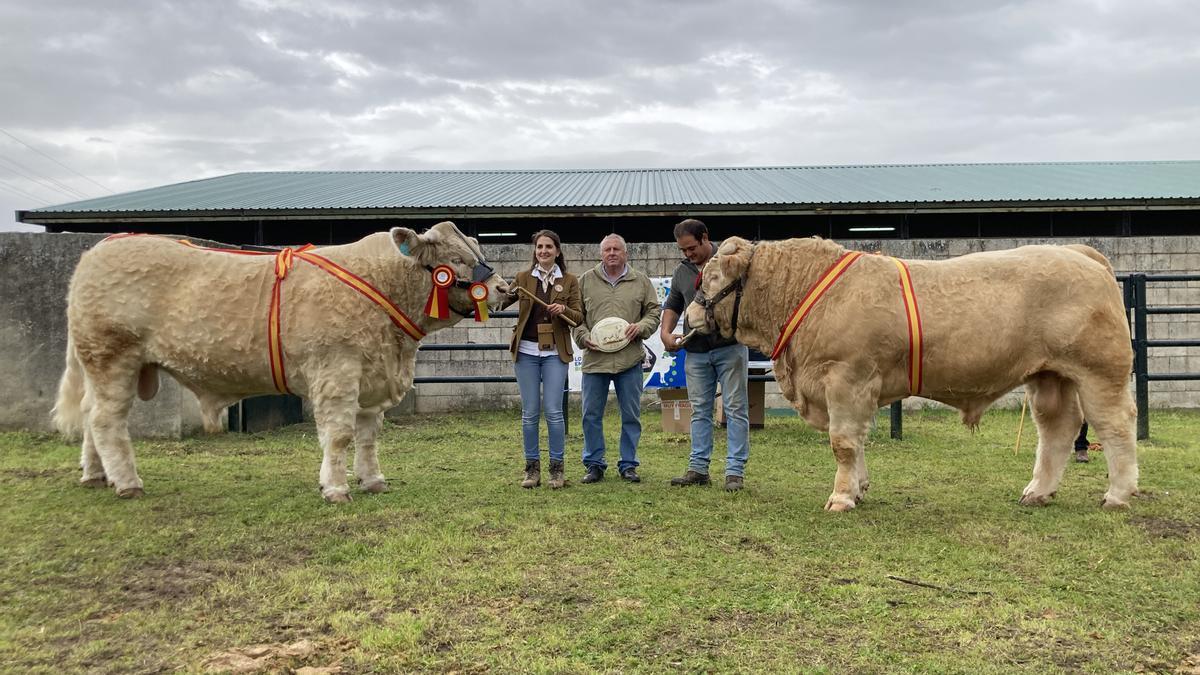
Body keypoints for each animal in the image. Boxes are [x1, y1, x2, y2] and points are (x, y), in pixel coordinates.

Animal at [691, 236, 1137, 509]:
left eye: (711, 277)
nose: (691, 314)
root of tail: (1079, 252)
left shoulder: (846, 378)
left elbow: (843, 442)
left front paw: (841, 497)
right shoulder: (854, 389)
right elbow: (857, 440)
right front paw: (859, 488)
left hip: (1099, 371)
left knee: (1115, 425)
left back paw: (1118, 494)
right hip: (1050, 375)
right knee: (1057, 428)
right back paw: (1038, 492)